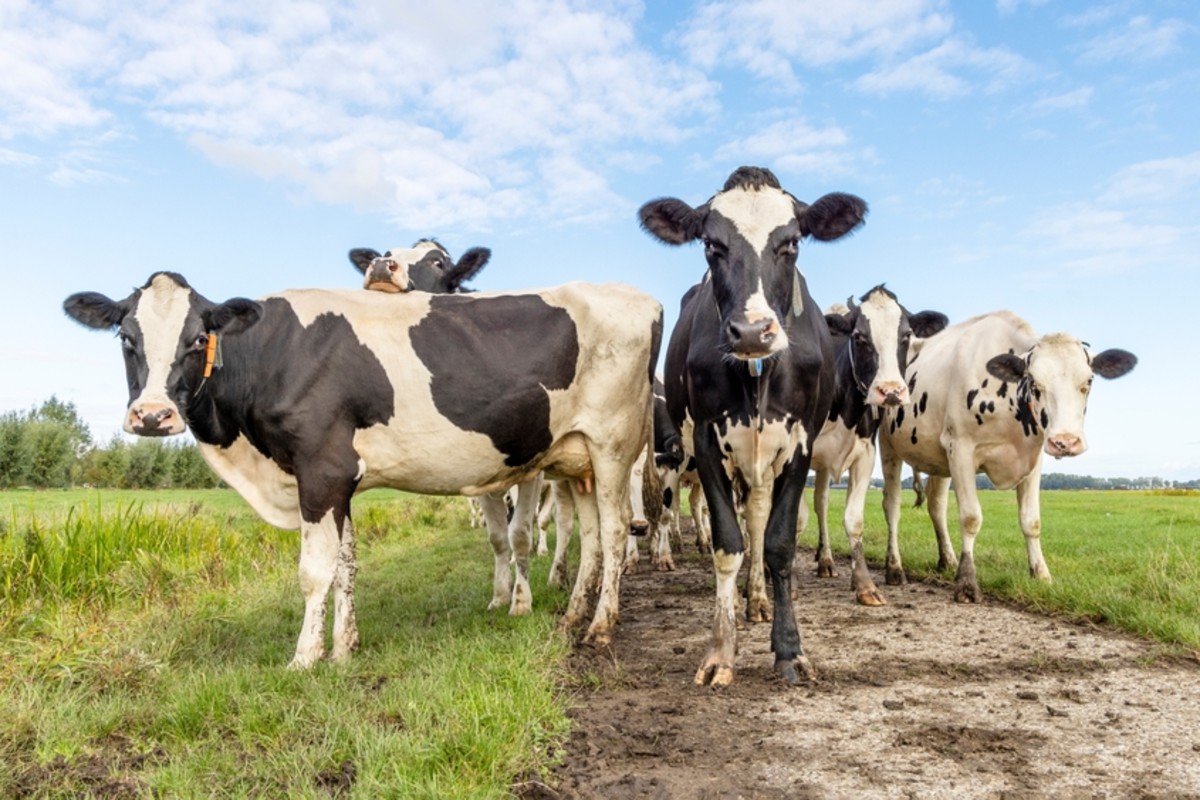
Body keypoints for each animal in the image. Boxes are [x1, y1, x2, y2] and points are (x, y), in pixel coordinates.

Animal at [63, 272, 662, 668]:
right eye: (126, 338)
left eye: (196, 340)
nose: (152, 416)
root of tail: (640, 296)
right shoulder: (340, 481)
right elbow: (346, 564)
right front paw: (345, 648)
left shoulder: (320, 470)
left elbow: (314, 571)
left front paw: (305, 658)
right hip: (577, 460)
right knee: (589, 534)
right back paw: (573, 616)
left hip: (613, 446)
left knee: (614, 530)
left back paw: (600, 626)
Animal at [639, 166, 867, 686]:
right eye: (711, 244)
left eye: (792, 242)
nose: (750, 331)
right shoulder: (705, 441)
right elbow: (728, 542)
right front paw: (722, 651)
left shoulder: (800, 444)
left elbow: (778, 542)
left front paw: (789, 650)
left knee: (759, 521)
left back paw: (759, 598)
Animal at [802, 287, 948, 605]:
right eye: (859, 336)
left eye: (906, 335)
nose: (890, 391)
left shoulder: (864, 454)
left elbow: (853, 519)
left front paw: (864, 585)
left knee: (821, 502)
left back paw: (826, 560)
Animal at [878, 310, 1136, 603]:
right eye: (1035, 383)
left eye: (1089, 381)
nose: (1065, 442)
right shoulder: (961, 449)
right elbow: (971, 518)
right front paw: (967, 583)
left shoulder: (1033, 459)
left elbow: (1031, 521)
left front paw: (1041, 574)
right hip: (888, 445)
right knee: (892, 505)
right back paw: (894, 568)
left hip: (937, 457)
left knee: (936, 504)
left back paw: (948, 560)